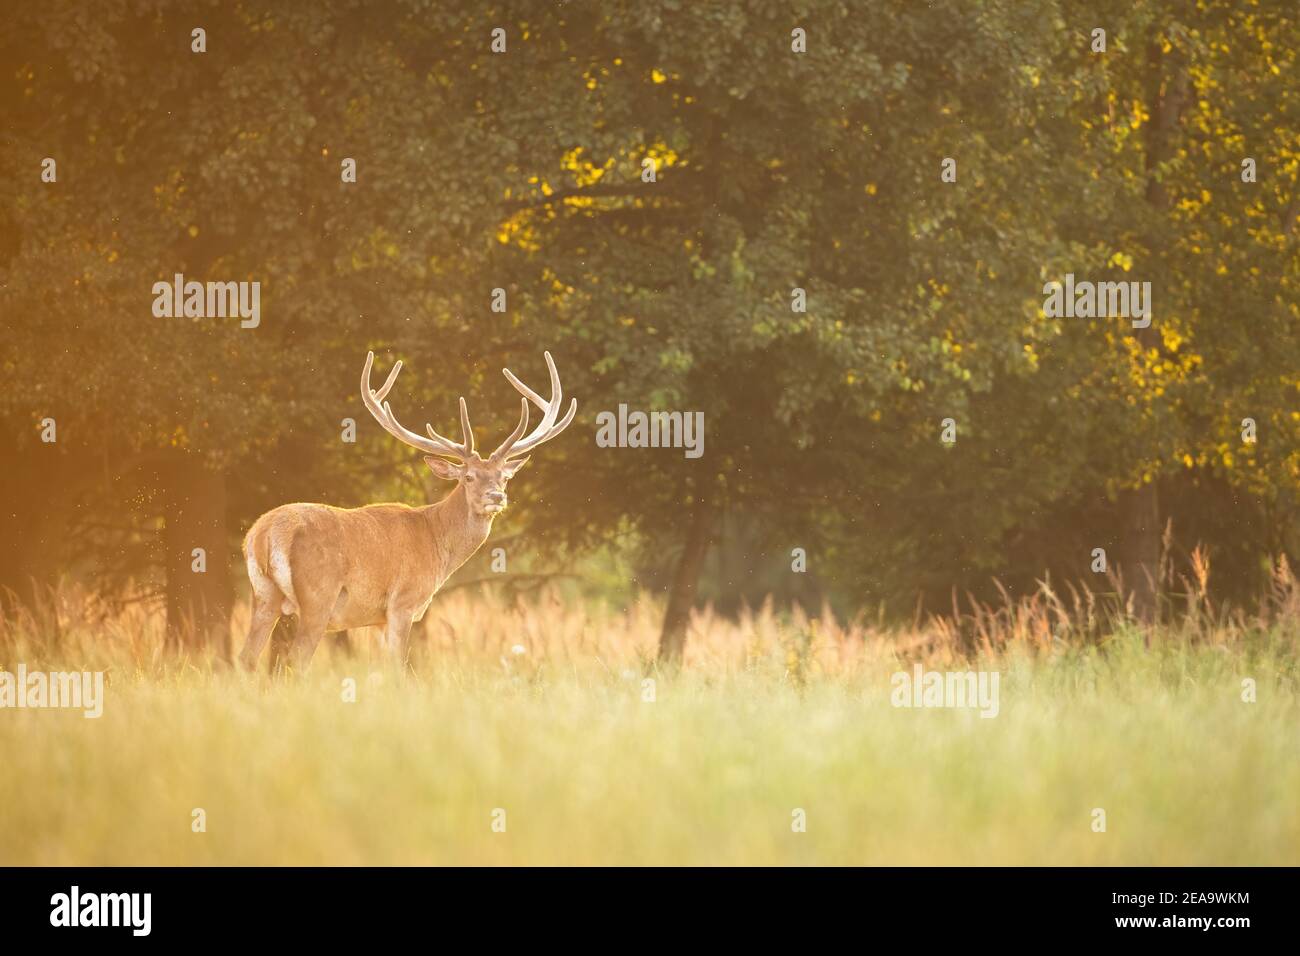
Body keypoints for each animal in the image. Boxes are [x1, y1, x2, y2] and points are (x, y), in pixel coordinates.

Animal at [238, 349, 577, 671]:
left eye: (504, 477)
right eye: (468, 476)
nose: (496, 496)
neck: (436, 542)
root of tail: (265, 533)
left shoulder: (377, 619)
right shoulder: (403, 603)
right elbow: (399, 669)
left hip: (263, 596)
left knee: (246, 657)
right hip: (318, 596)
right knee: (295, 660)